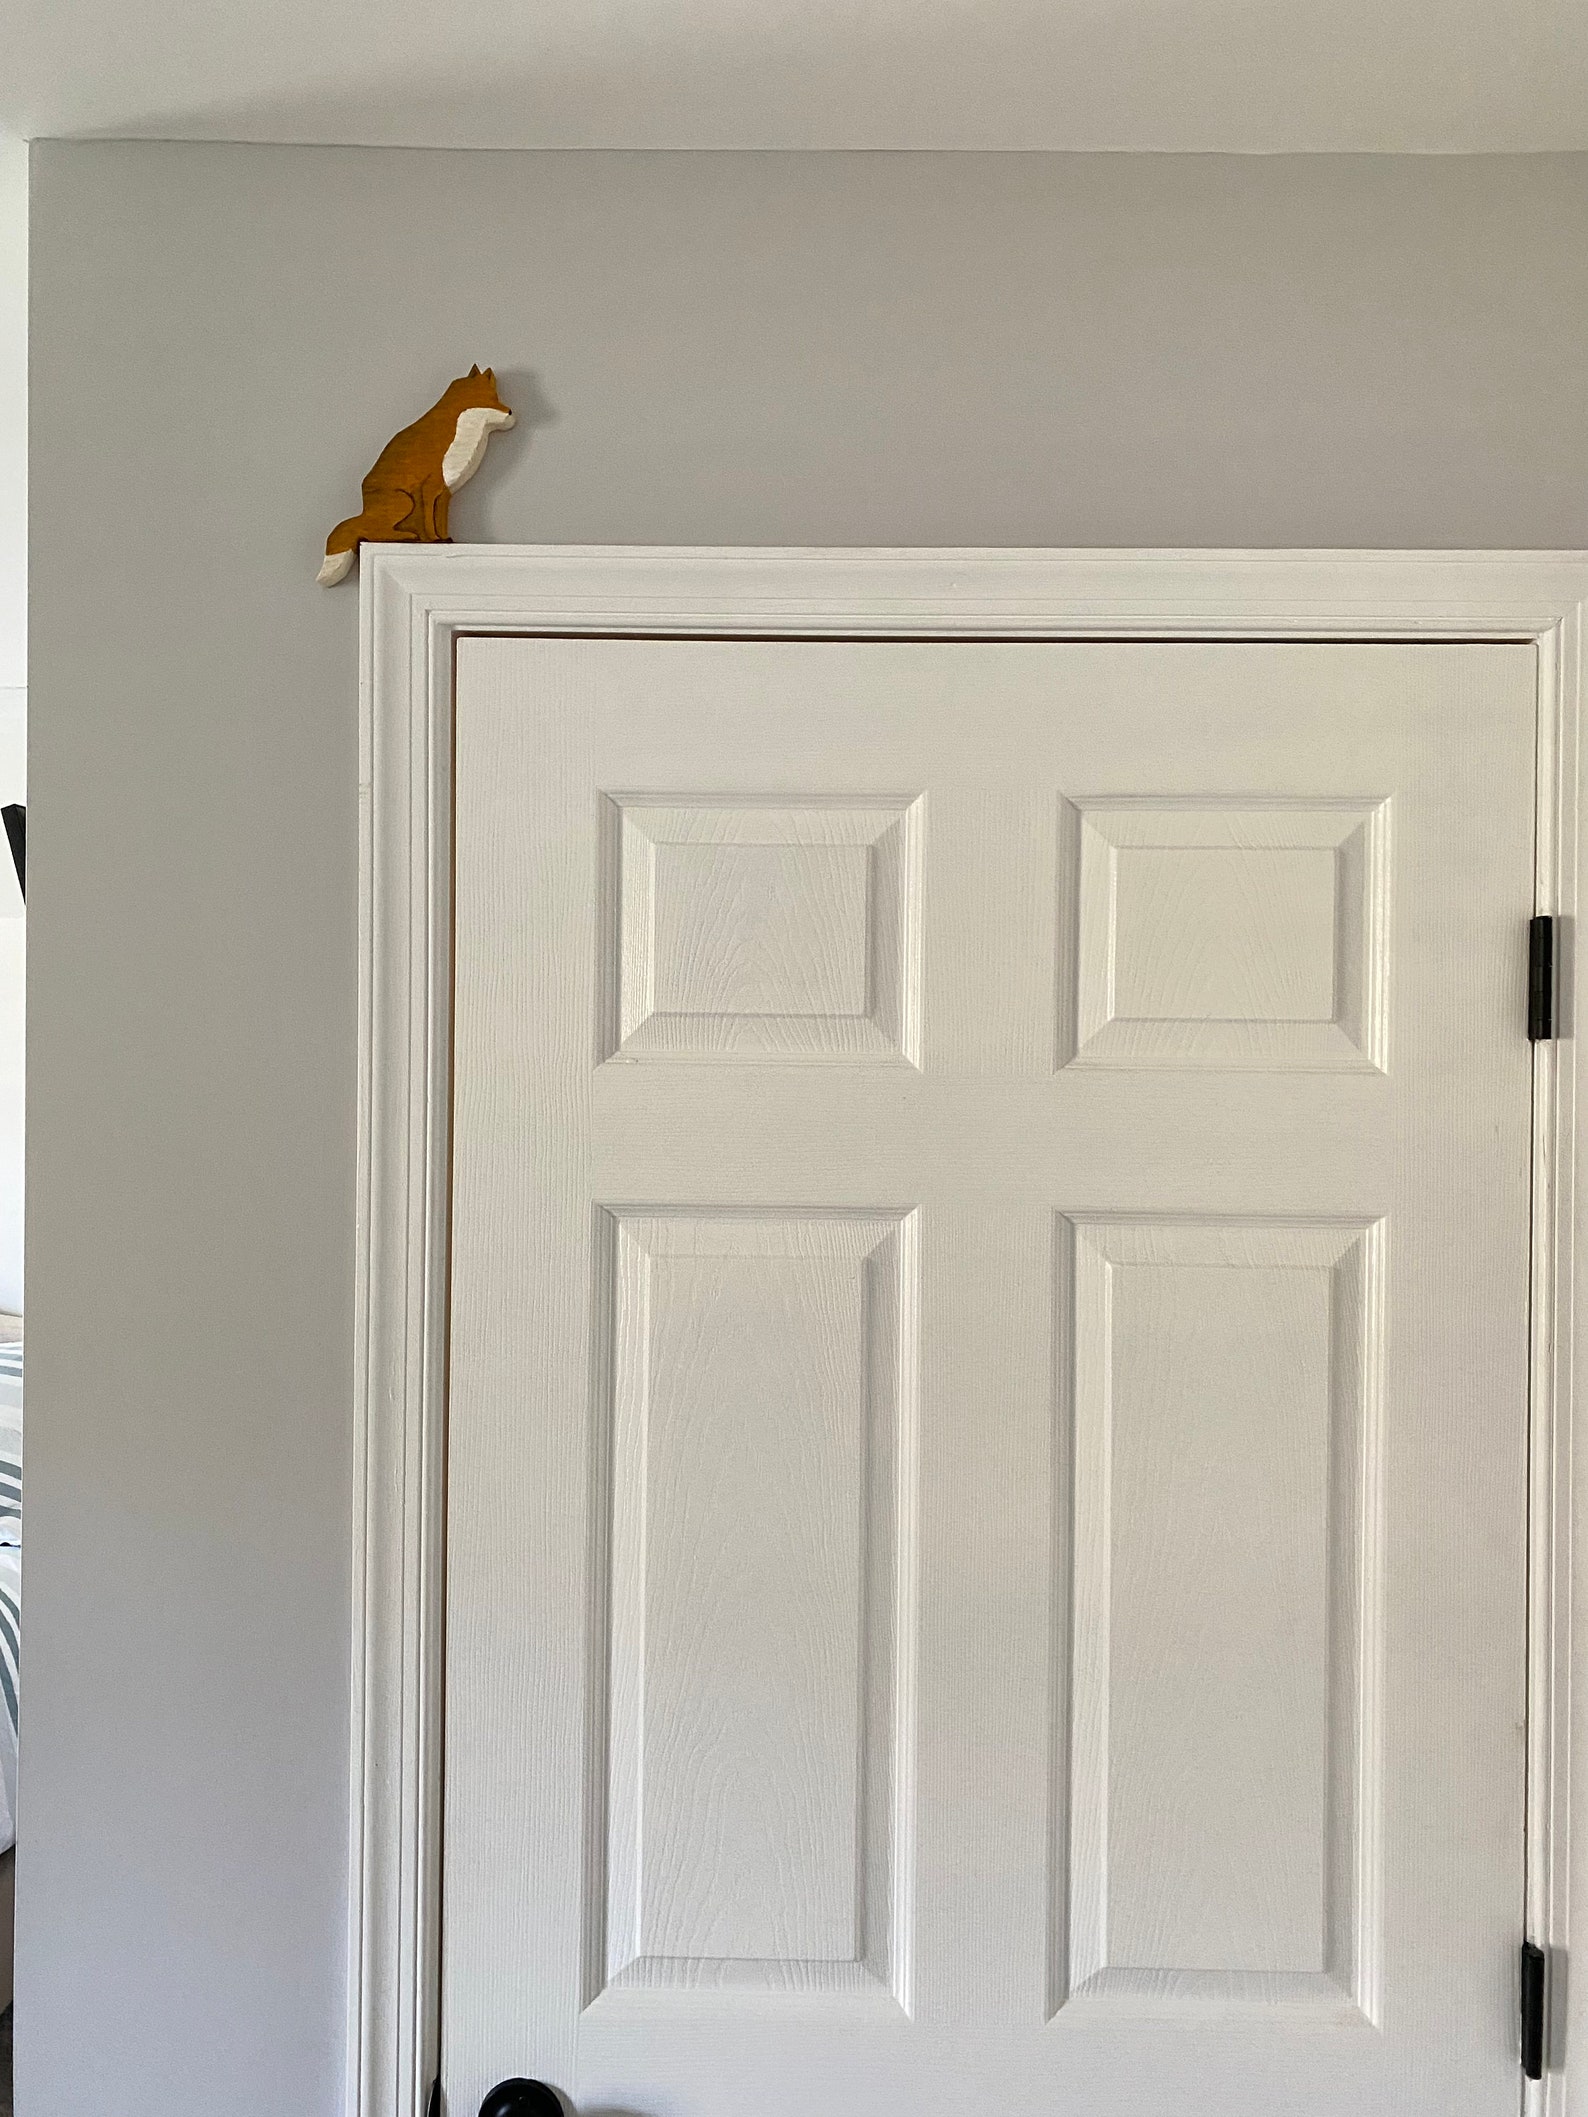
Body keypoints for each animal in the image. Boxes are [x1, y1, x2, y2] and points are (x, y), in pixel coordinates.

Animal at [317, 366, 516, 585]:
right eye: (491, 397)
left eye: (497, 396)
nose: (511, 412)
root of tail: (364, 509)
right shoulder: (428, 487)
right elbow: (428, 520)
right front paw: (432, 540)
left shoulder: (445, 492)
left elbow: (440, 520)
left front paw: (445, 540)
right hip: (404, 501)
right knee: (371, 531)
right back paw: (404, 535)